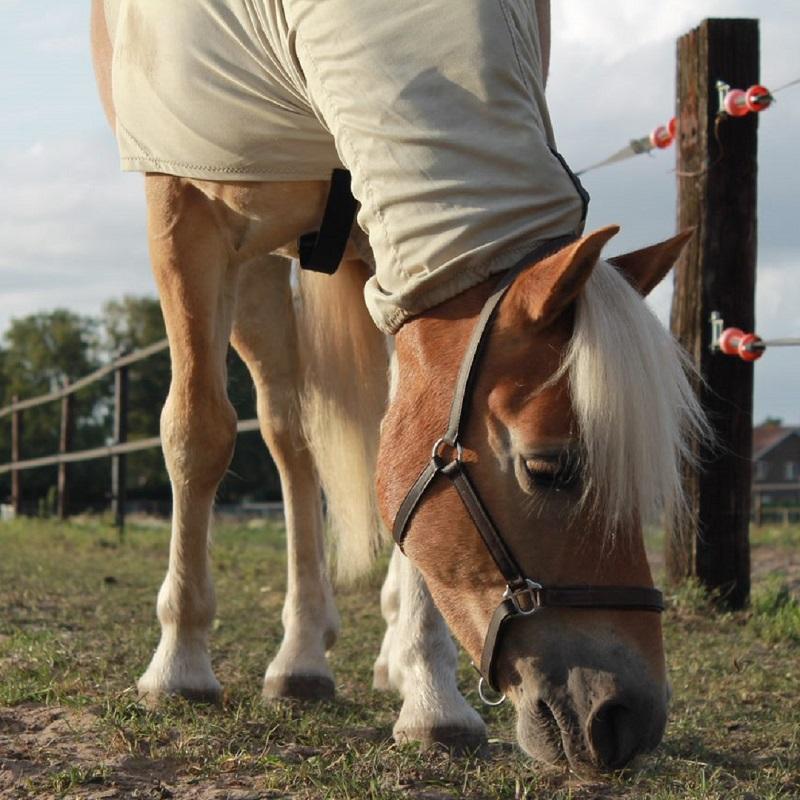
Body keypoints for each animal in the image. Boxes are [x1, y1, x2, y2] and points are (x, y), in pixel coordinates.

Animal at [91, 0, 707, 771]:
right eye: (547, 468)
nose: (628, 717)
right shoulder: (187, 208)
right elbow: (197, 433)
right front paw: (178, 665)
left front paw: (432, 698)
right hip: (260, 267)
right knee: (289, 438)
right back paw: (300, 658)